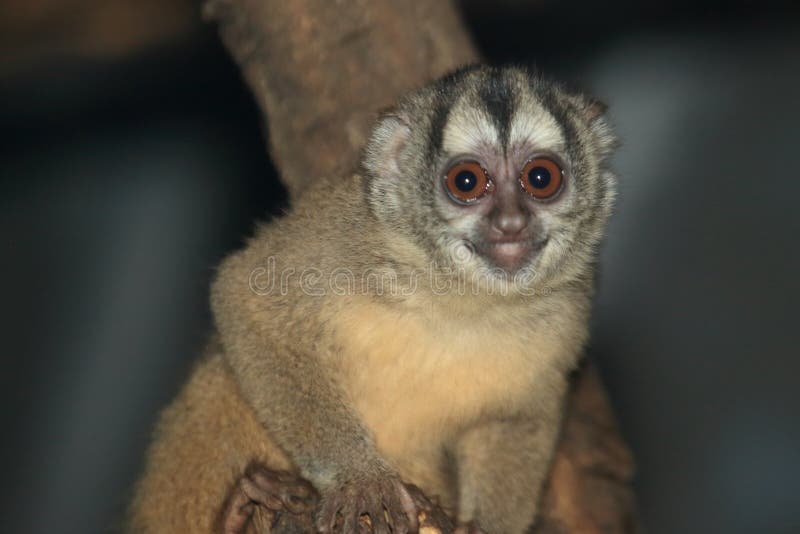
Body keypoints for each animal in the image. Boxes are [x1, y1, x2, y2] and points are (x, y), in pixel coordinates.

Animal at [128, 65, 618, 534]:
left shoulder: (568, 313)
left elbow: (520, 414)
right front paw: (361, 480)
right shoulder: (345, 236)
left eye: (541, 178)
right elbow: (243, 297)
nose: (511, 223)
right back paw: (239, 511)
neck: (461, 293)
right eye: (466, 181)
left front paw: (480, 528)